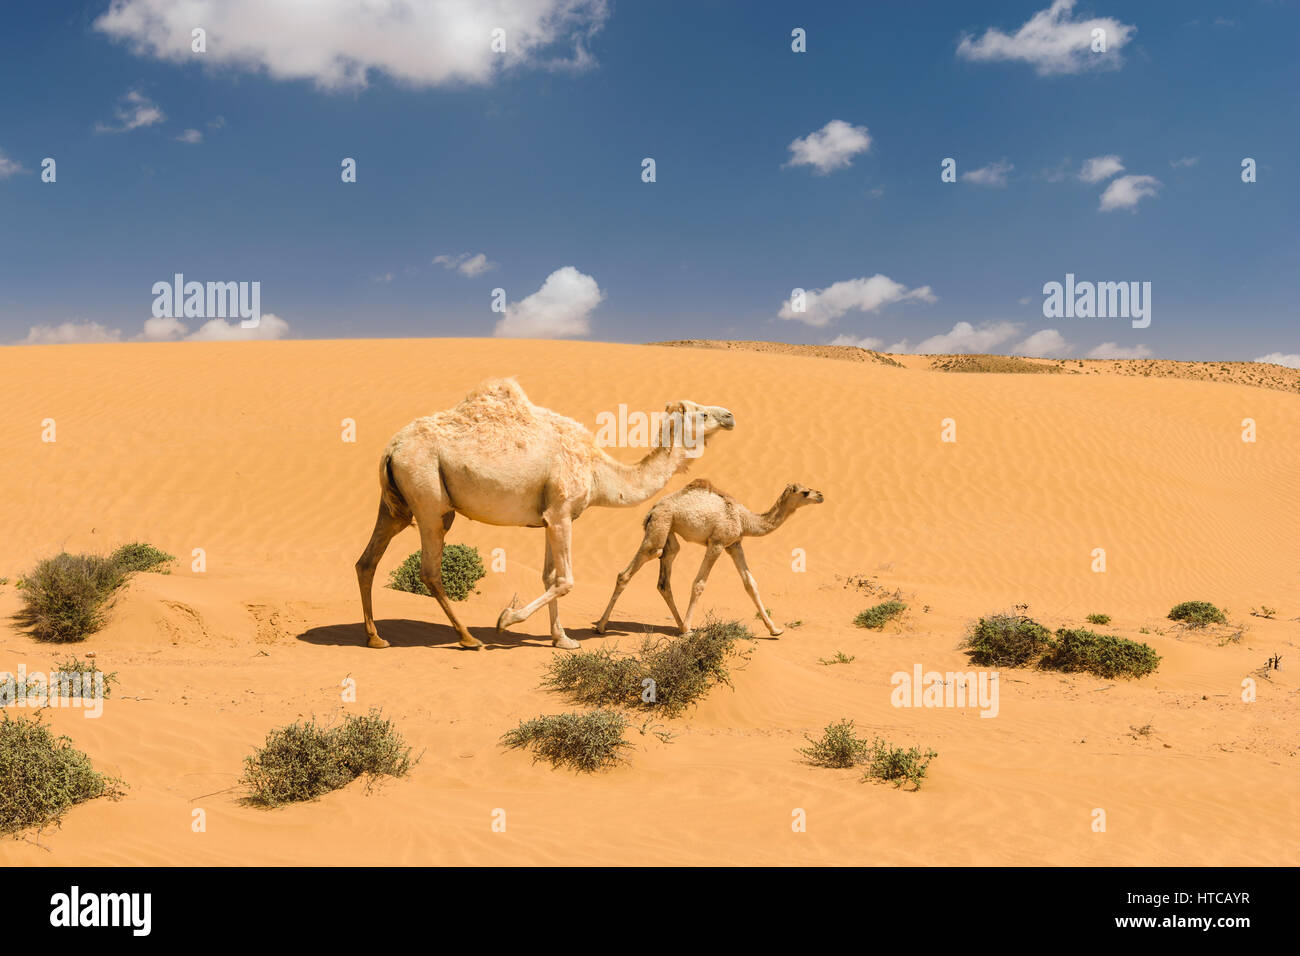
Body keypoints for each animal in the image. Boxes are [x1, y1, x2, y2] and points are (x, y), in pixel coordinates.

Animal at [356, 378, 735, 650]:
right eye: (702, 413)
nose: (730, 415)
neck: (598, 471)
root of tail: (392, 447)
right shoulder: (561, 513)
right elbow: (565, 580)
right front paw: (507, 619)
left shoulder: (548, 519)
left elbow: (550, 578)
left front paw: (561, 639)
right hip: (430, 500)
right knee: (430, 569)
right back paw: (468, 637)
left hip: (395, 505)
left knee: (367, 561)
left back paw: (375, 637)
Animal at [595, 479, 824, 637]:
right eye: (805, 492)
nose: (820, 495)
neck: (745, 519)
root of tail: (651, 510)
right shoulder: (717, 542)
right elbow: (699, 583)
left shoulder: (734, 544)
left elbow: (750, 584)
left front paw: (775, 629)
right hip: (660, 526)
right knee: (630, 570)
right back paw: (601, 626)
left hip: (669, 531)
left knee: (665, 578)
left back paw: (682, 626)